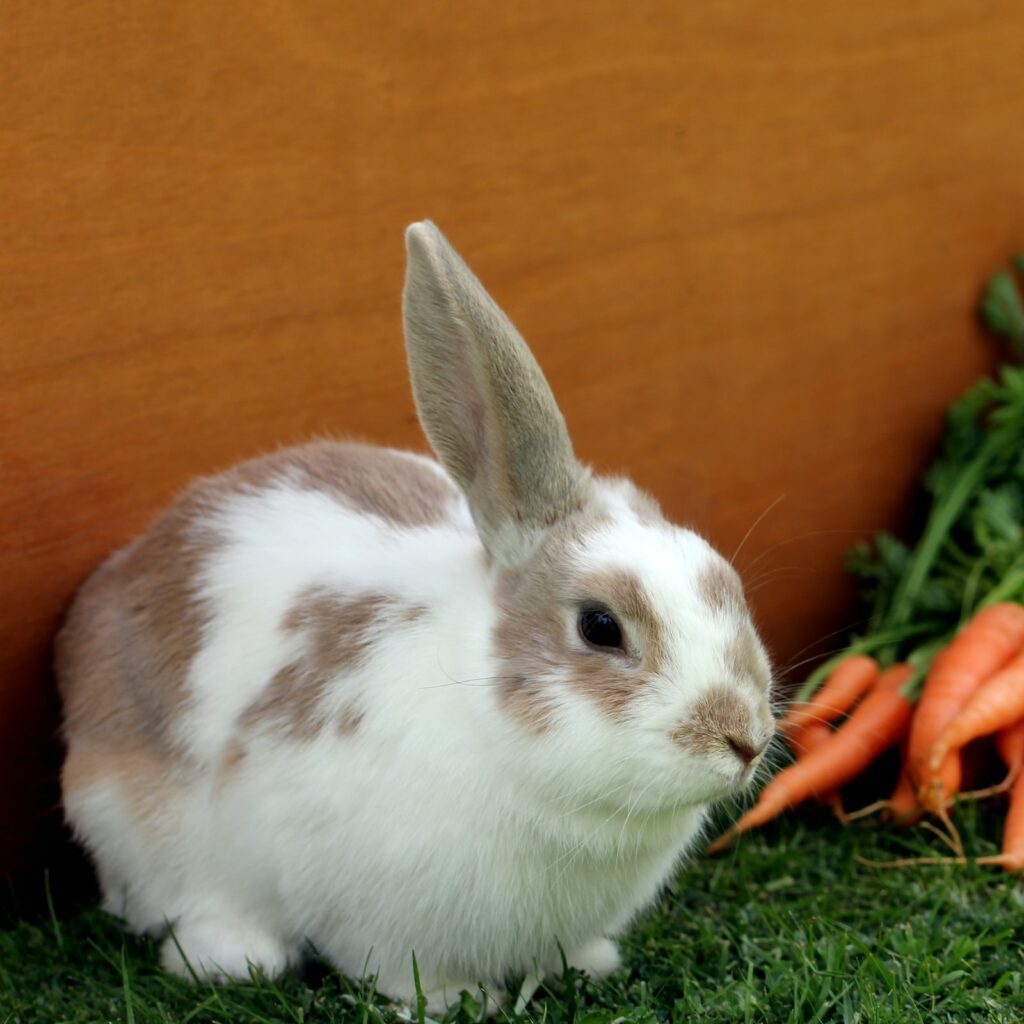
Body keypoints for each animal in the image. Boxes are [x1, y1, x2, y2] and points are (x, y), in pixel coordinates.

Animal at [55, 221, 776, 1013]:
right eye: (599, 627)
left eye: (724, 580)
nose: (744, 738)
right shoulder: (366, 908)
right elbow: (398, 965)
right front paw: (457, 1000)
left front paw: (590, 962)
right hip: (130, 822)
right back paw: (234, 955)